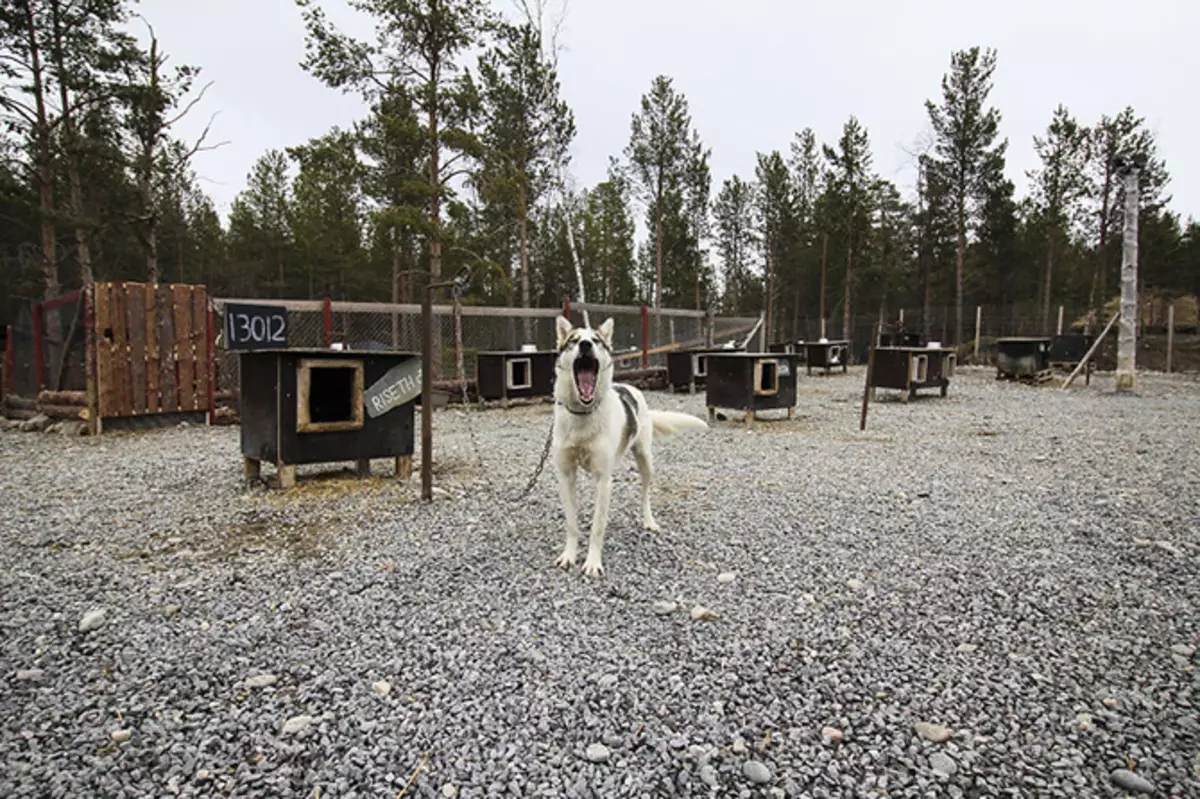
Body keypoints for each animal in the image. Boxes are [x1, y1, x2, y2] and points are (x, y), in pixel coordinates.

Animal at [554, 314, 710, 575]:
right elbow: (572, 524)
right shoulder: (566, 476)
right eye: (573, 341)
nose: (585, 345)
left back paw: (649, 521)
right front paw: (569, 556)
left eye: (596, 340)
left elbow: (597, 527)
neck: (583, 414)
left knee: (645, 495)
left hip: (645, 461)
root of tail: (629, 386)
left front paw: (593, 563)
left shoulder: (603, 480)